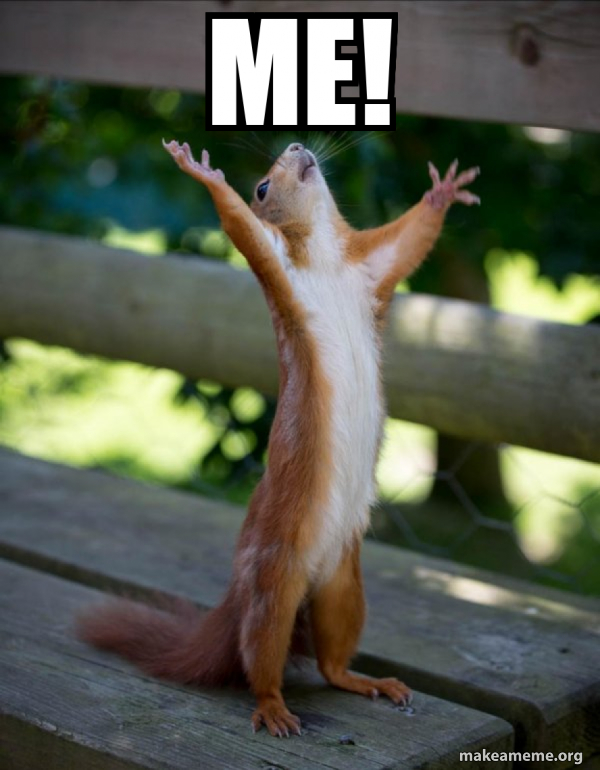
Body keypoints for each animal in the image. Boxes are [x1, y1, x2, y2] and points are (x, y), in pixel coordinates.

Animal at [77, 138, 480, 738]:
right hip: (273, 585)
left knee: (332, 661)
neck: (326, 257)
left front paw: (443, 192)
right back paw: (273, 708)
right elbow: (240, 226)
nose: (295, 146)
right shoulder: (277, 266)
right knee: (260, 658)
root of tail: (239, 595)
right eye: (262, 187)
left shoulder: (372, 267)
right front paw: (204, 173)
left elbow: (409, 240)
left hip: (344, 586)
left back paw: (368, 682)